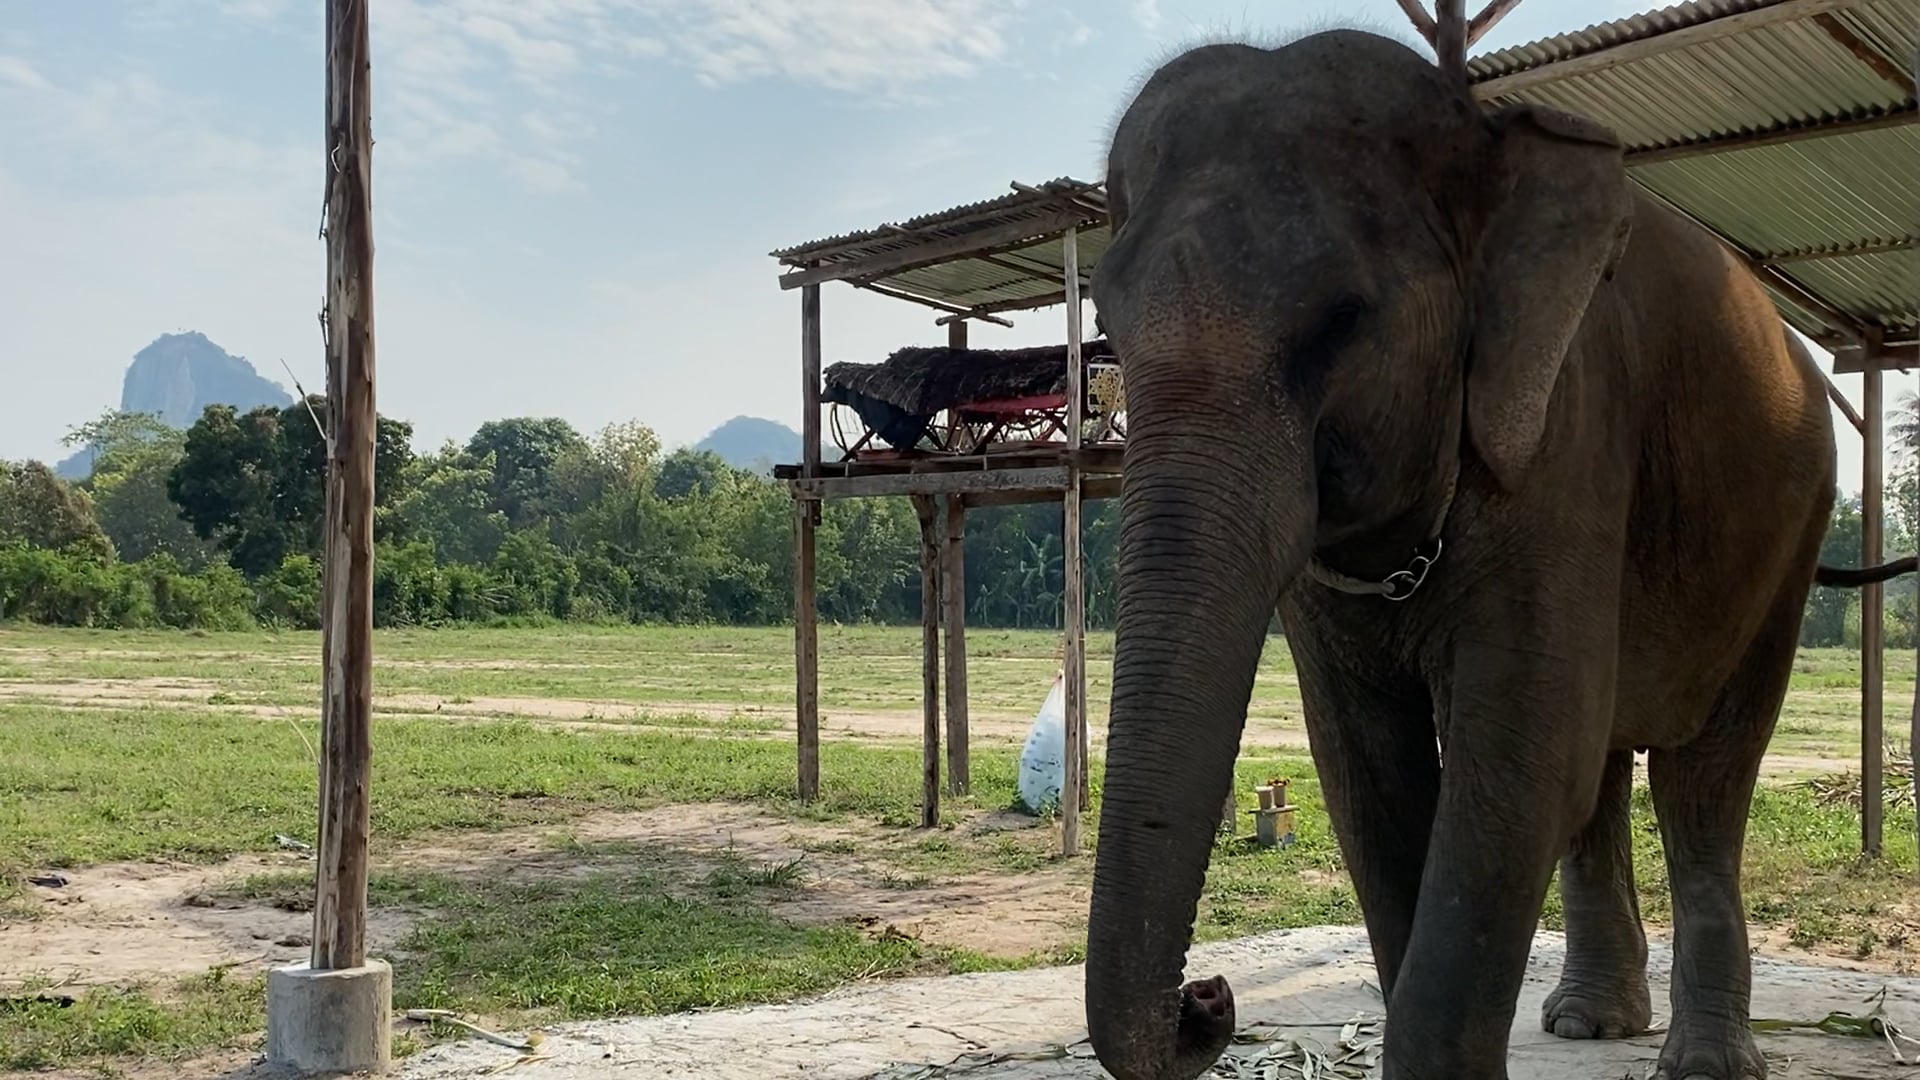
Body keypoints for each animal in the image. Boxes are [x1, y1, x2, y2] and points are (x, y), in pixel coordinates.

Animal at [1080, 25, 1914, 1080]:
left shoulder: (1567, 439)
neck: (1481, 129)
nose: (1210, 996)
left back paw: (1702, 1061)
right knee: (1605, 768)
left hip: (1789, 535)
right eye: (1107, 324)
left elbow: (1517, 763)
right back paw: (1590, 1023)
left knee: (1702, 779)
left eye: (1344, 320)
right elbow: (1368, 774)